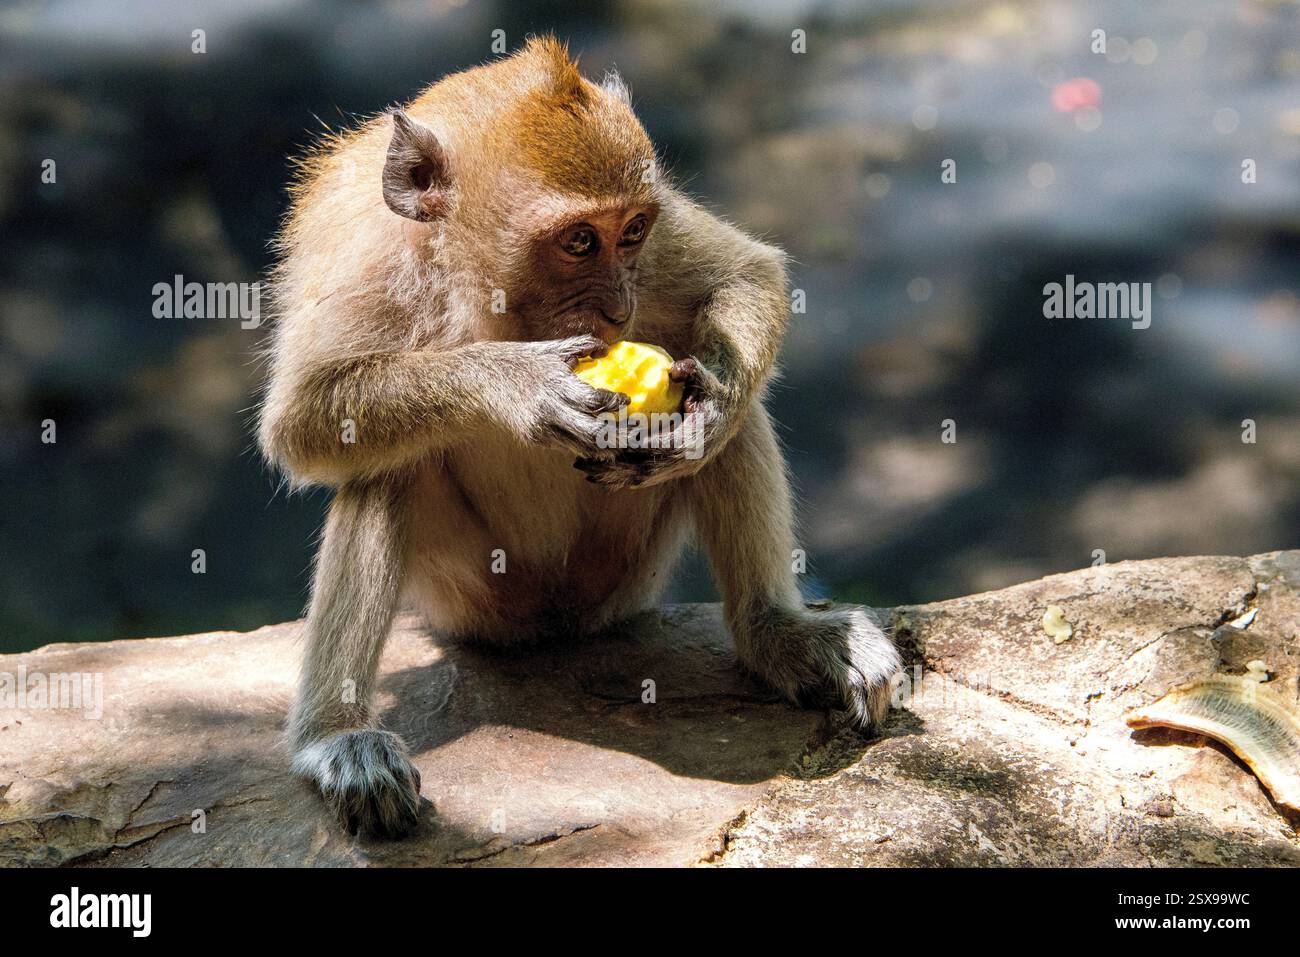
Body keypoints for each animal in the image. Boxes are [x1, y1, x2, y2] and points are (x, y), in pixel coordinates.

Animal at [257, 37, 901, 837]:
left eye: (631, 232)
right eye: (579, 241)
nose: (620, 306)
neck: (480, 293)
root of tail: (555, 624)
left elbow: (747, 277)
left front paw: (705, 415)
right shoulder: (366, 259)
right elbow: (303, 423)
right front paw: (516, 383)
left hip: (623, 574)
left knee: (735, 401)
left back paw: (775, 631)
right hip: (471, 599)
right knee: (384, 472)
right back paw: (336, 736)